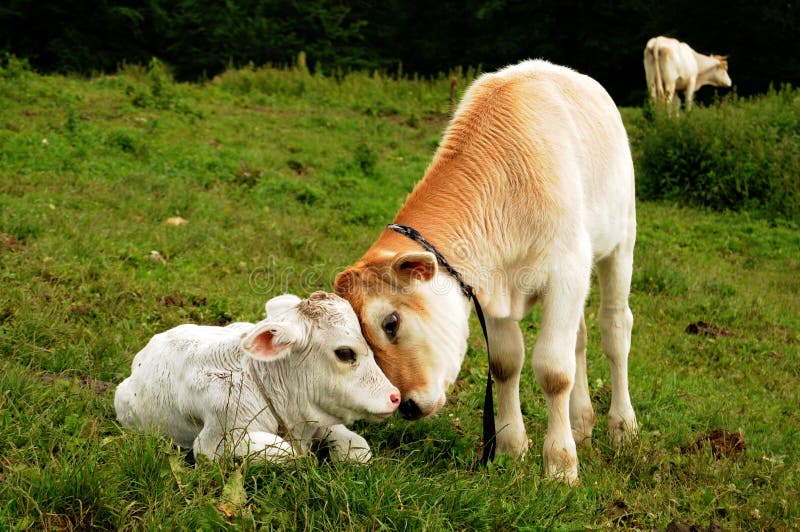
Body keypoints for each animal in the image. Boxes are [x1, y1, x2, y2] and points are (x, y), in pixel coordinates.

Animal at [334, 60, 638, 484]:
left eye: (390, 323)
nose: (406, 405)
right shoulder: (490, 287)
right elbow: (506, 363)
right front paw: (510, 448)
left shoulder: (565, 271)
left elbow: (553, 370)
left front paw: (560, 465)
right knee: (579, 338)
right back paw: (581, 424)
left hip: (620, 243)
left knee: (614, 328)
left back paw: (622, 426)